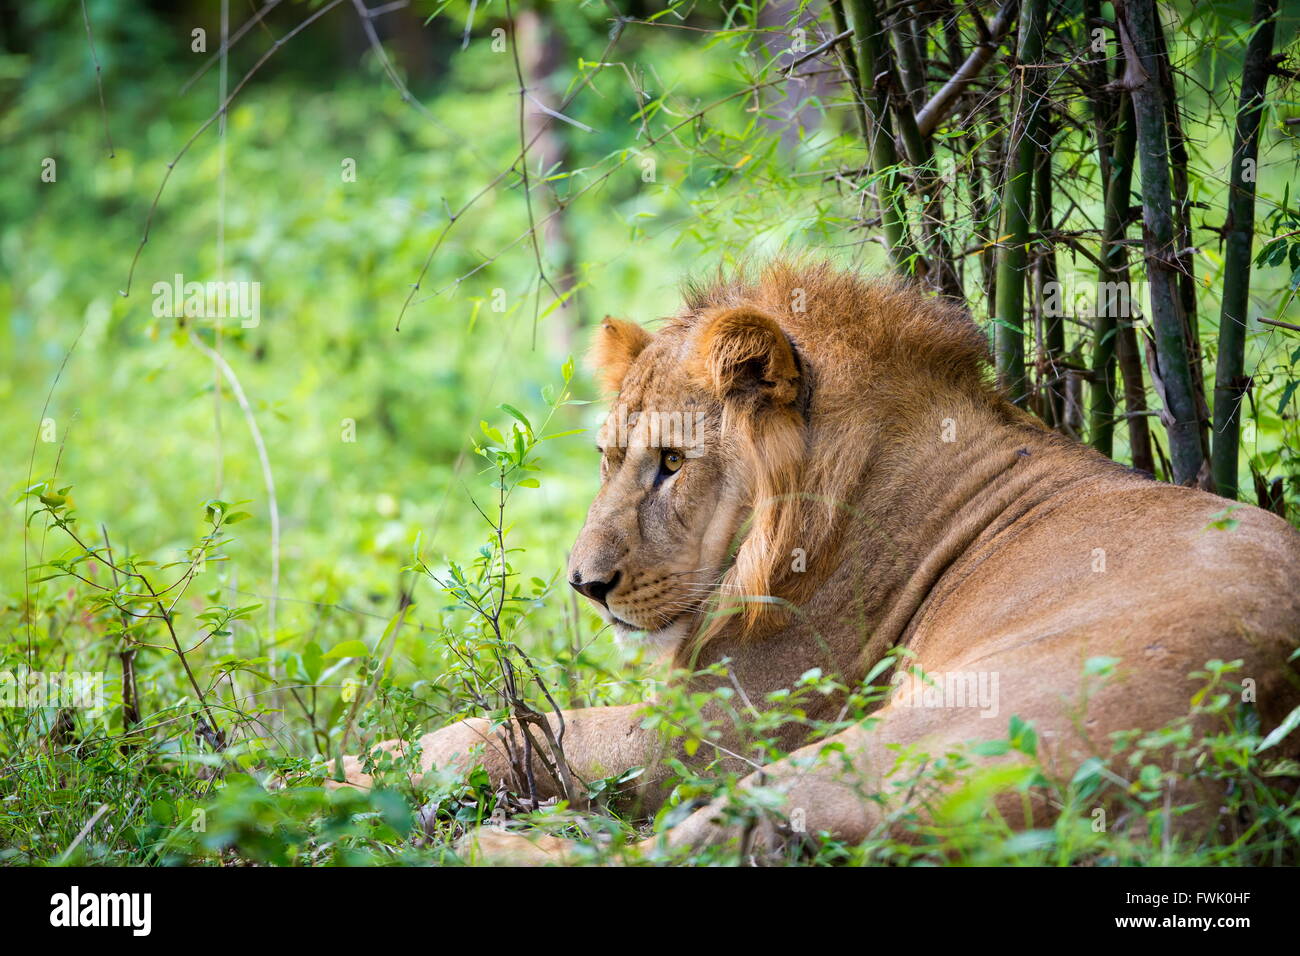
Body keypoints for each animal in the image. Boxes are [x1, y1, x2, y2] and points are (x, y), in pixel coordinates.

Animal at [331, 261, 1300, 863]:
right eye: (608, 457)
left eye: (673, 463)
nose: (586, 586)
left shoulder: (717, 730)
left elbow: (503, 731)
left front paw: (344, 771)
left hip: (891, 741)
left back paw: (479, 843)